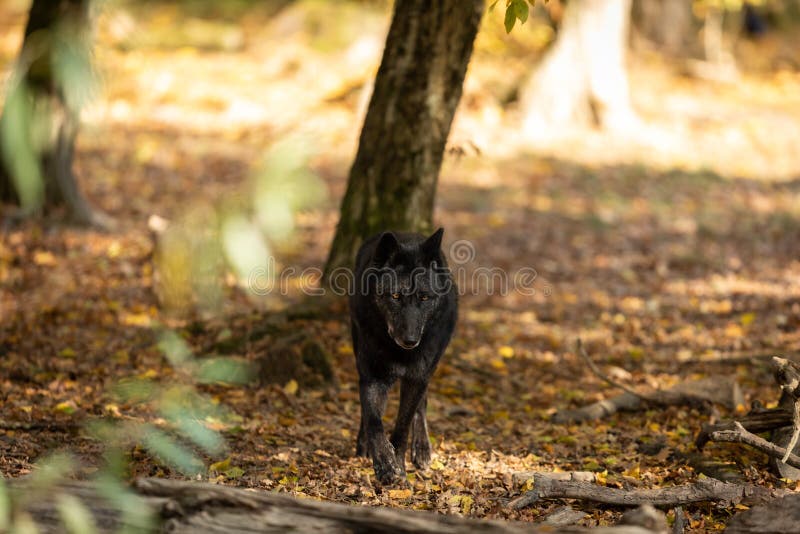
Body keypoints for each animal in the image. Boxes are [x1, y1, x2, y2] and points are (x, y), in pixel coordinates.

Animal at [350, 228, 457, 484]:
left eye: (424, 298)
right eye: (396, 296)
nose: (410, 341)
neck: (399, 352)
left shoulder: (417, 377)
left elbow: (402, 426)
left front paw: (398, 464)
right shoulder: (373, 377)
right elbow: (374, 420)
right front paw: (384, 464)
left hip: (429, 369)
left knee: (422, 404)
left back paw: (422, 449)